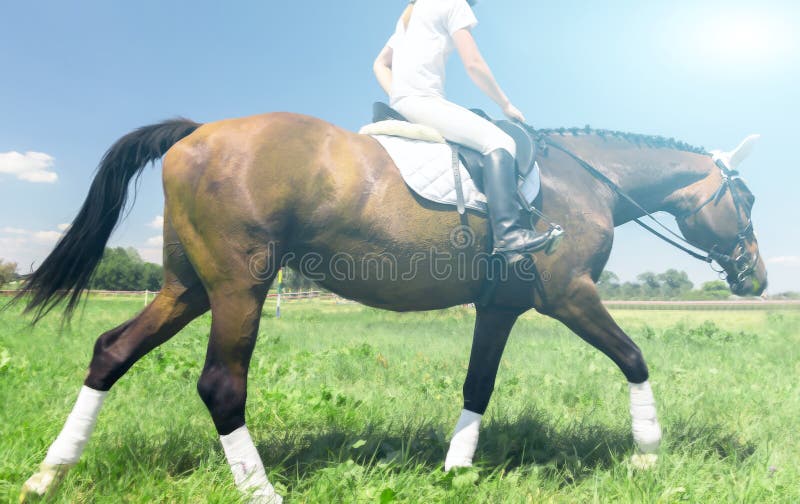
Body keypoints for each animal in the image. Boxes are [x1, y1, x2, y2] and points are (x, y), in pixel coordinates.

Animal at [15, 113, 766, 503]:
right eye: (749, 199)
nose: (757, 278)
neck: (582, 181)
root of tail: (195, 134)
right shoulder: (570, 295)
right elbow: (635, 357)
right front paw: (648, 456)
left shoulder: (500, 308)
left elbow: (478, 385)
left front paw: (457, 469)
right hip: (237, 290)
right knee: (222, 384)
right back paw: (261, 492)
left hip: (188, 289)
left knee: (111, 351)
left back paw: (49, 472)